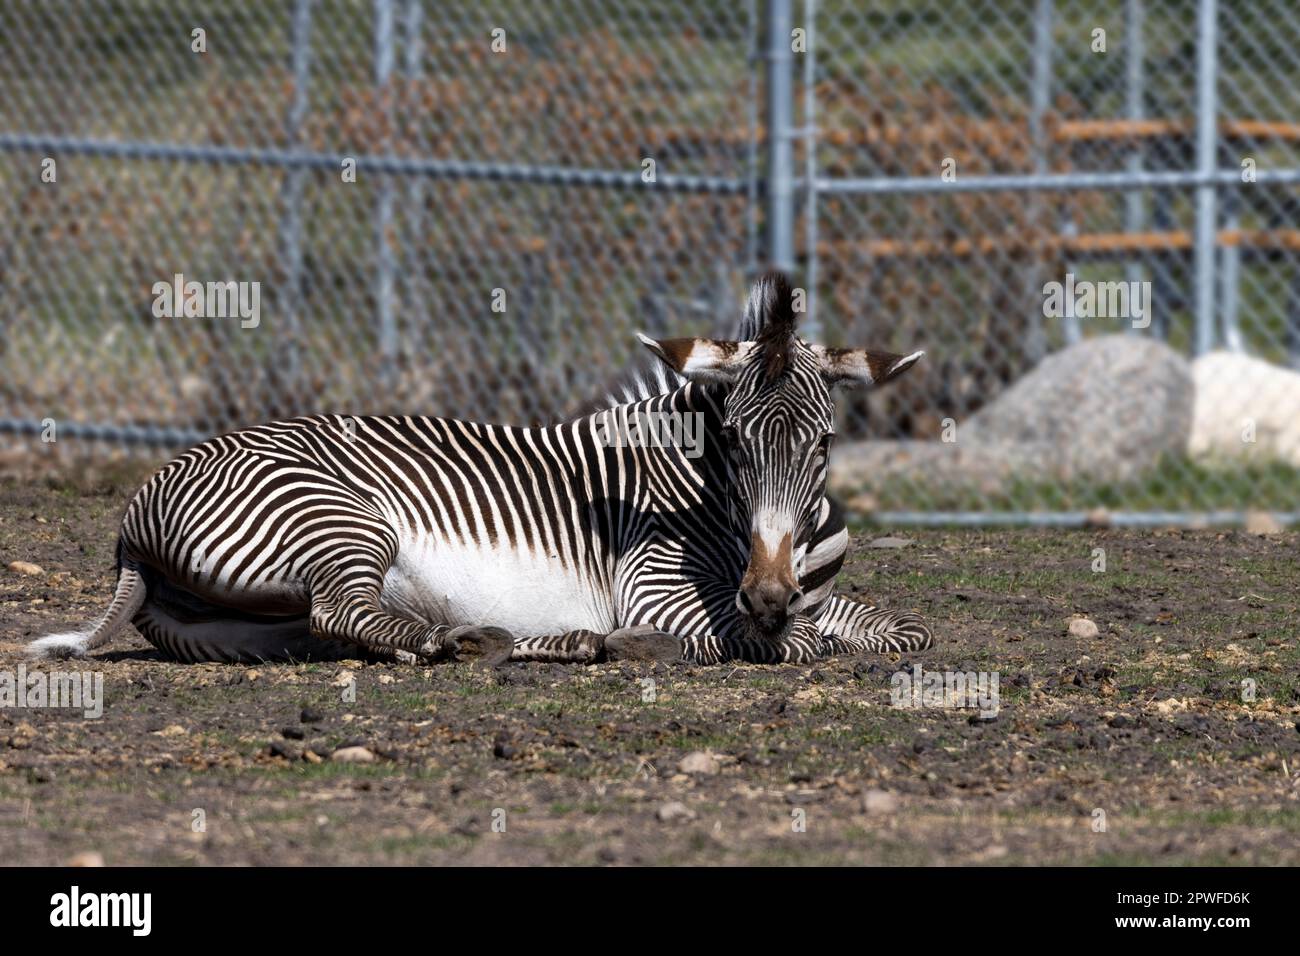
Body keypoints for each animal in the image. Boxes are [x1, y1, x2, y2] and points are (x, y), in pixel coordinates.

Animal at [29, 271, 932, 666]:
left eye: (823, 445)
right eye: (737, 443)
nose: (767, 596)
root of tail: (133, 514)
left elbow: (900, 629)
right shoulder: (655, 587)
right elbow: (795, 642)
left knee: (327, 626)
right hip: (336, 520)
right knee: (341, 611)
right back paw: (474, 640)